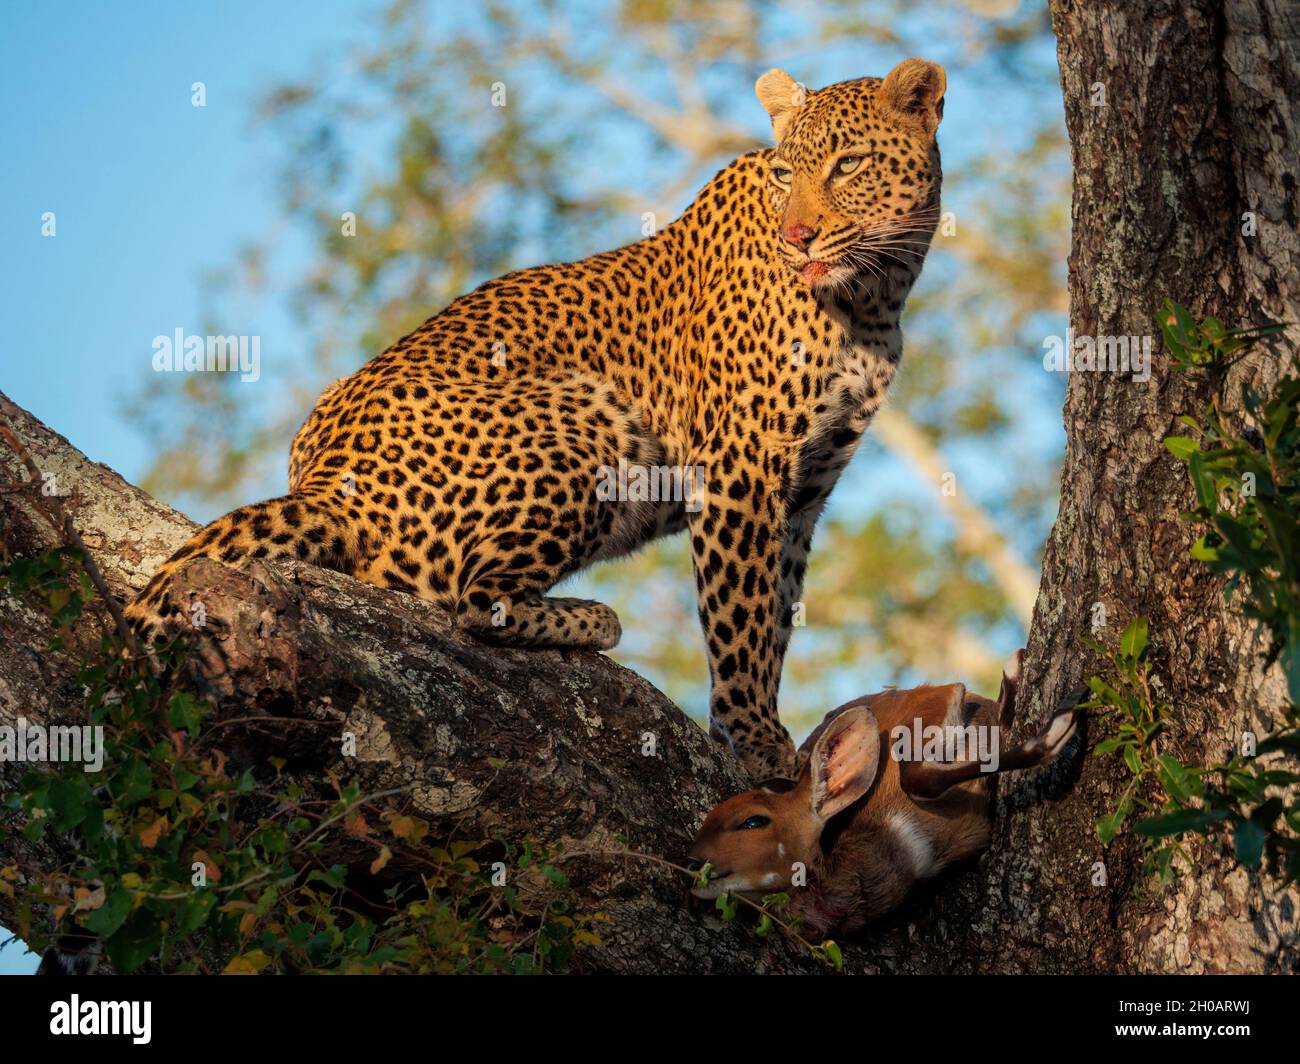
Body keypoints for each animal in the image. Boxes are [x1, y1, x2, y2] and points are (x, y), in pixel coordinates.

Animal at [126, 58, 947, 782]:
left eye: (847, 165)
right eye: (784, 174)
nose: (796, 237)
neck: (876, 295)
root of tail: (323, 485)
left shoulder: (806, 484)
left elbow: (775, 611)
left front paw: (764, 731)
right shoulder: (742, 463)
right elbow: (739, 612)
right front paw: (754, 738)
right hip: (591, 421)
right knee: (468, 598)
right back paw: (594, 619)